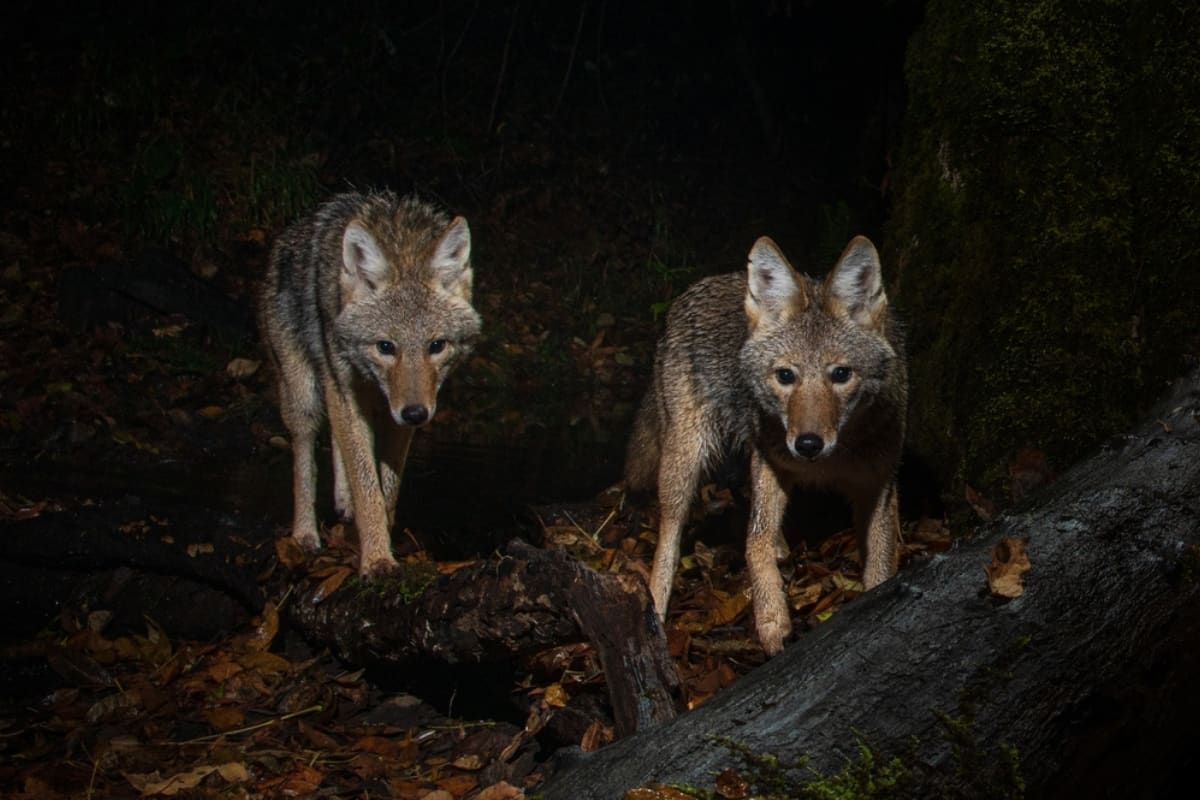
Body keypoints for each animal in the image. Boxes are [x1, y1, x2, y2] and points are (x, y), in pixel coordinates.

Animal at [258, 191, 481, 577]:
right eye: (386, 347)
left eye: (436, 346)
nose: (415, 414)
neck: (401, 240)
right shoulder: (344, 388)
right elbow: (366, 485)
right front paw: (377, 559)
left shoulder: (402, 408)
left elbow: (385, 484)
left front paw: (380, 539)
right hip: (303, 396)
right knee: (304, 453)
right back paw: (304, 534)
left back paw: (342, 503)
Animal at [624, 235, 907, 655]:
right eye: (785, 376)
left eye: (841, 374)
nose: (808, 444)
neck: (830, 461)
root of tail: (690, 291)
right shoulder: (770, 461)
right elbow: (752, 542)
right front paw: (771, 619)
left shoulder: (878, 484)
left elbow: (881, 563)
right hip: (685, 460)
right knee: (669, 533)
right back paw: (655, 608)